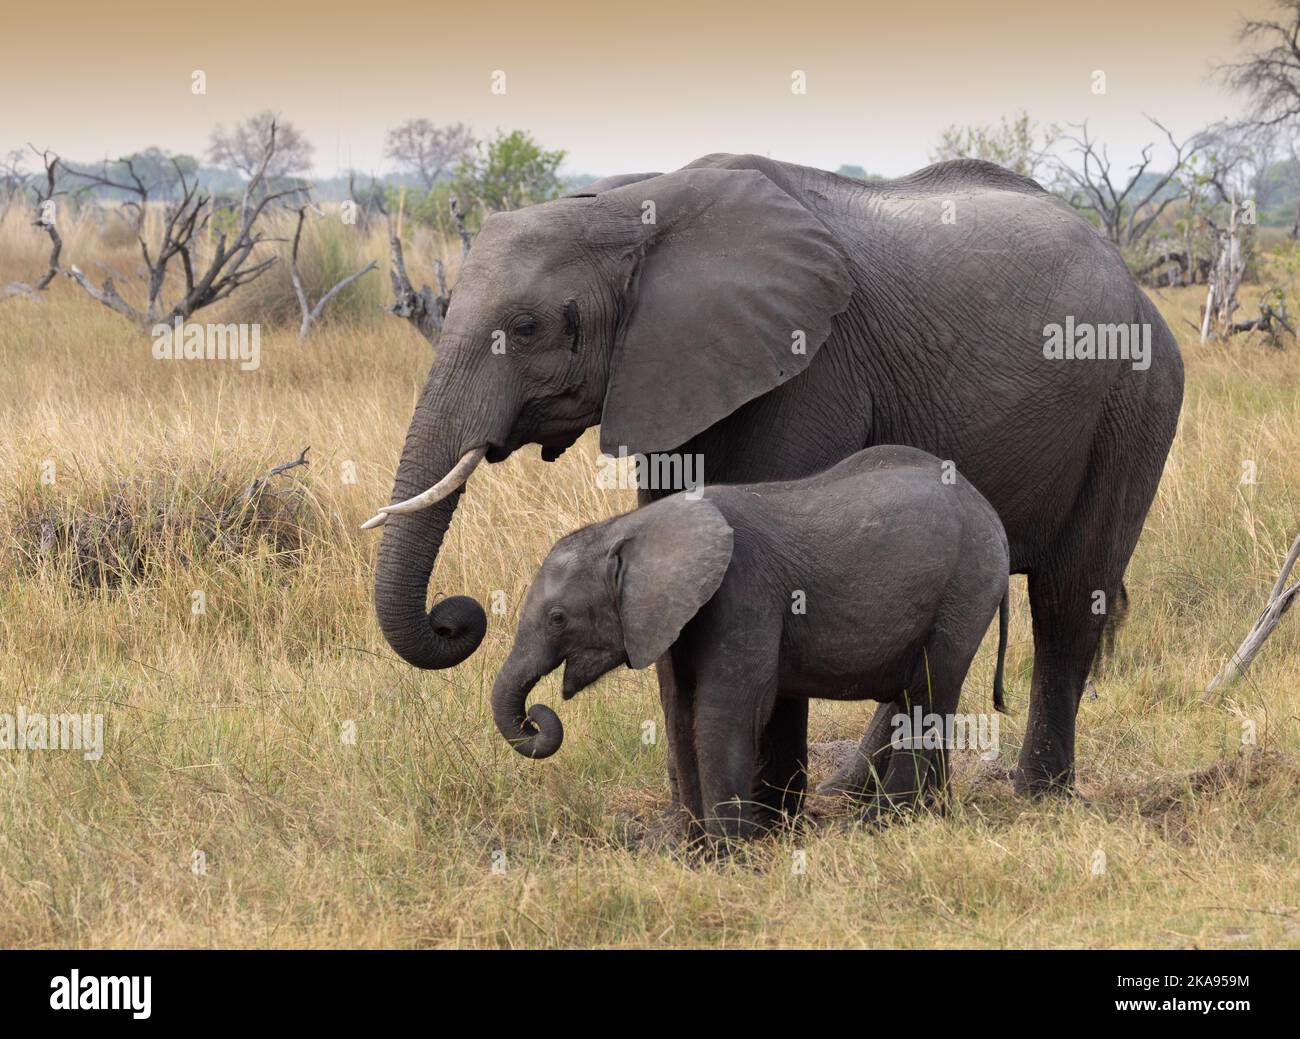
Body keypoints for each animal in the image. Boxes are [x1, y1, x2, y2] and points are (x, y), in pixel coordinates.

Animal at [491, 445, 1012, 842]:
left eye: (558, 619)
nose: (537, 717)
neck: (632, 526)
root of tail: (986, 508)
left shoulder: (742, 593)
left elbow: (726, 711)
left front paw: (732, 854)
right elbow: (679, 712)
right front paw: (694, 851)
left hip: (965, 588)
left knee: (927, 694)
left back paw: (880, 822)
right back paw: (929, 814)